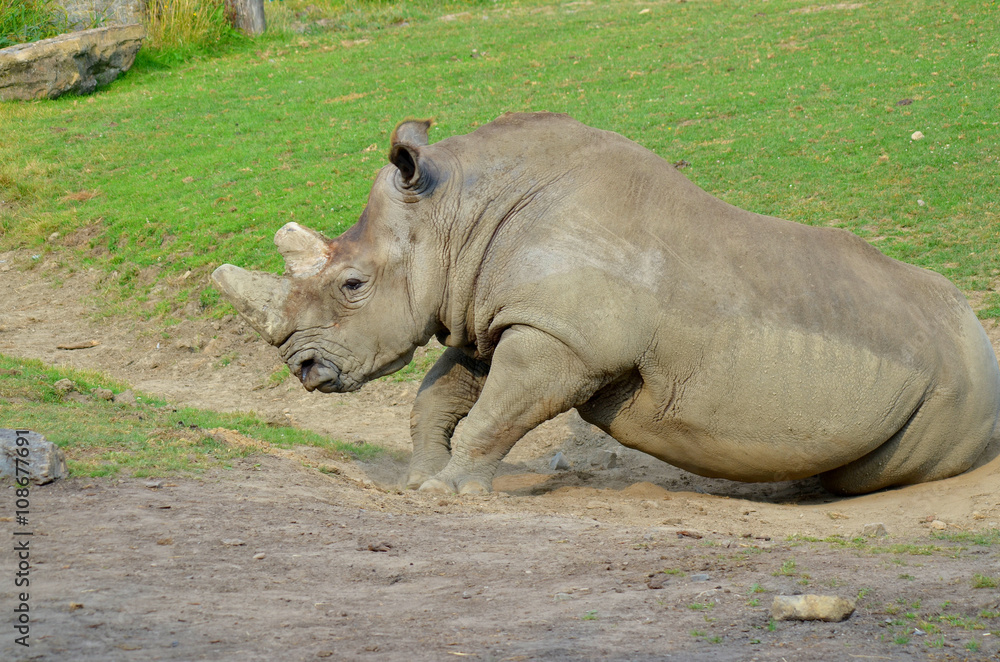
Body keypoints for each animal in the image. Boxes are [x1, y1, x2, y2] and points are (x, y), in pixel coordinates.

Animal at [212, 112, 1000, 496]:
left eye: (353, 285)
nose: (304, 368)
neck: (454, 210)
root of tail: (977, 331)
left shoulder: (564, 337)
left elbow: (493, 412)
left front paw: (453, 493)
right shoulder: (500, 319)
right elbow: (439, 395)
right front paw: (419, 480)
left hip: (959, 384)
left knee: (876, 473)